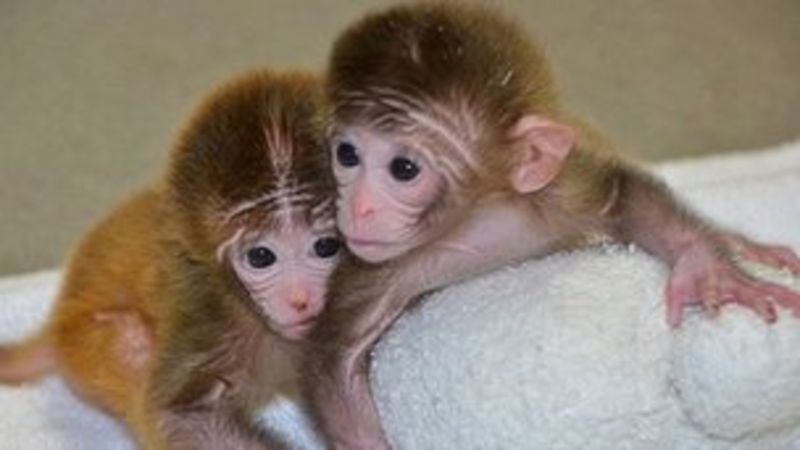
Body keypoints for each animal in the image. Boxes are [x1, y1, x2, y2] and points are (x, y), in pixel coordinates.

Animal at [0, 70, 340, 449]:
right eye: (261, 256)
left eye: (326, 246)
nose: (300, 299)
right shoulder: (208, 317)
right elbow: (175, 416)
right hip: (81, 345)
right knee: (132, 345)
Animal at [303, 3, 800, 449]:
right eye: (347, 155)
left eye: (403, 169)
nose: (359, 208)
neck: (478, 220)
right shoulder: (380, 266)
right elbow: (336, 359)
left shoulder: (555, 192)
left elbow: (622, 195)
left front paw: (708, 269)